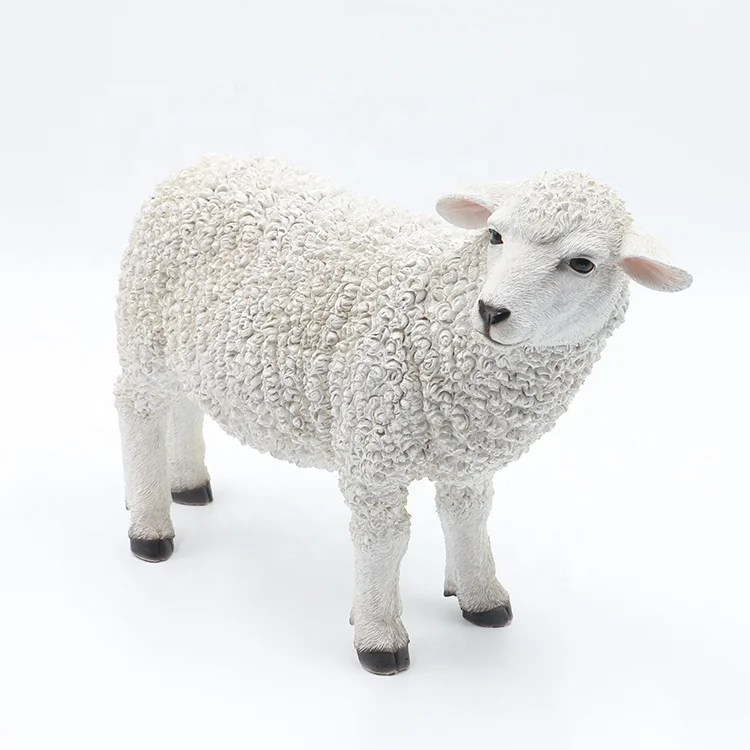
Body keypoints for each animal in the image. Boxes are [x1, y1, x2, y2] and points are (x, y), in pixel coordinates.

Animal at [114, 156, 692, 675]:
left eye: (582, 264)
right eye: (495, 235)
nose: (491, 312)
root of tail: (197, 167)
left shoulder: (466, 457)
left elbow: (469, 518)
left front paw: (481, 596)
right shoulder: (374, 448)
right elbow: (385, 541)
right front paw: (378, 636)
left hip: (187, 349)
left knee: (185, 406)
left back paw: (187, 483)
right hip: (144, 331)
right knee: (137, 411)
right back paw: (150, 526)